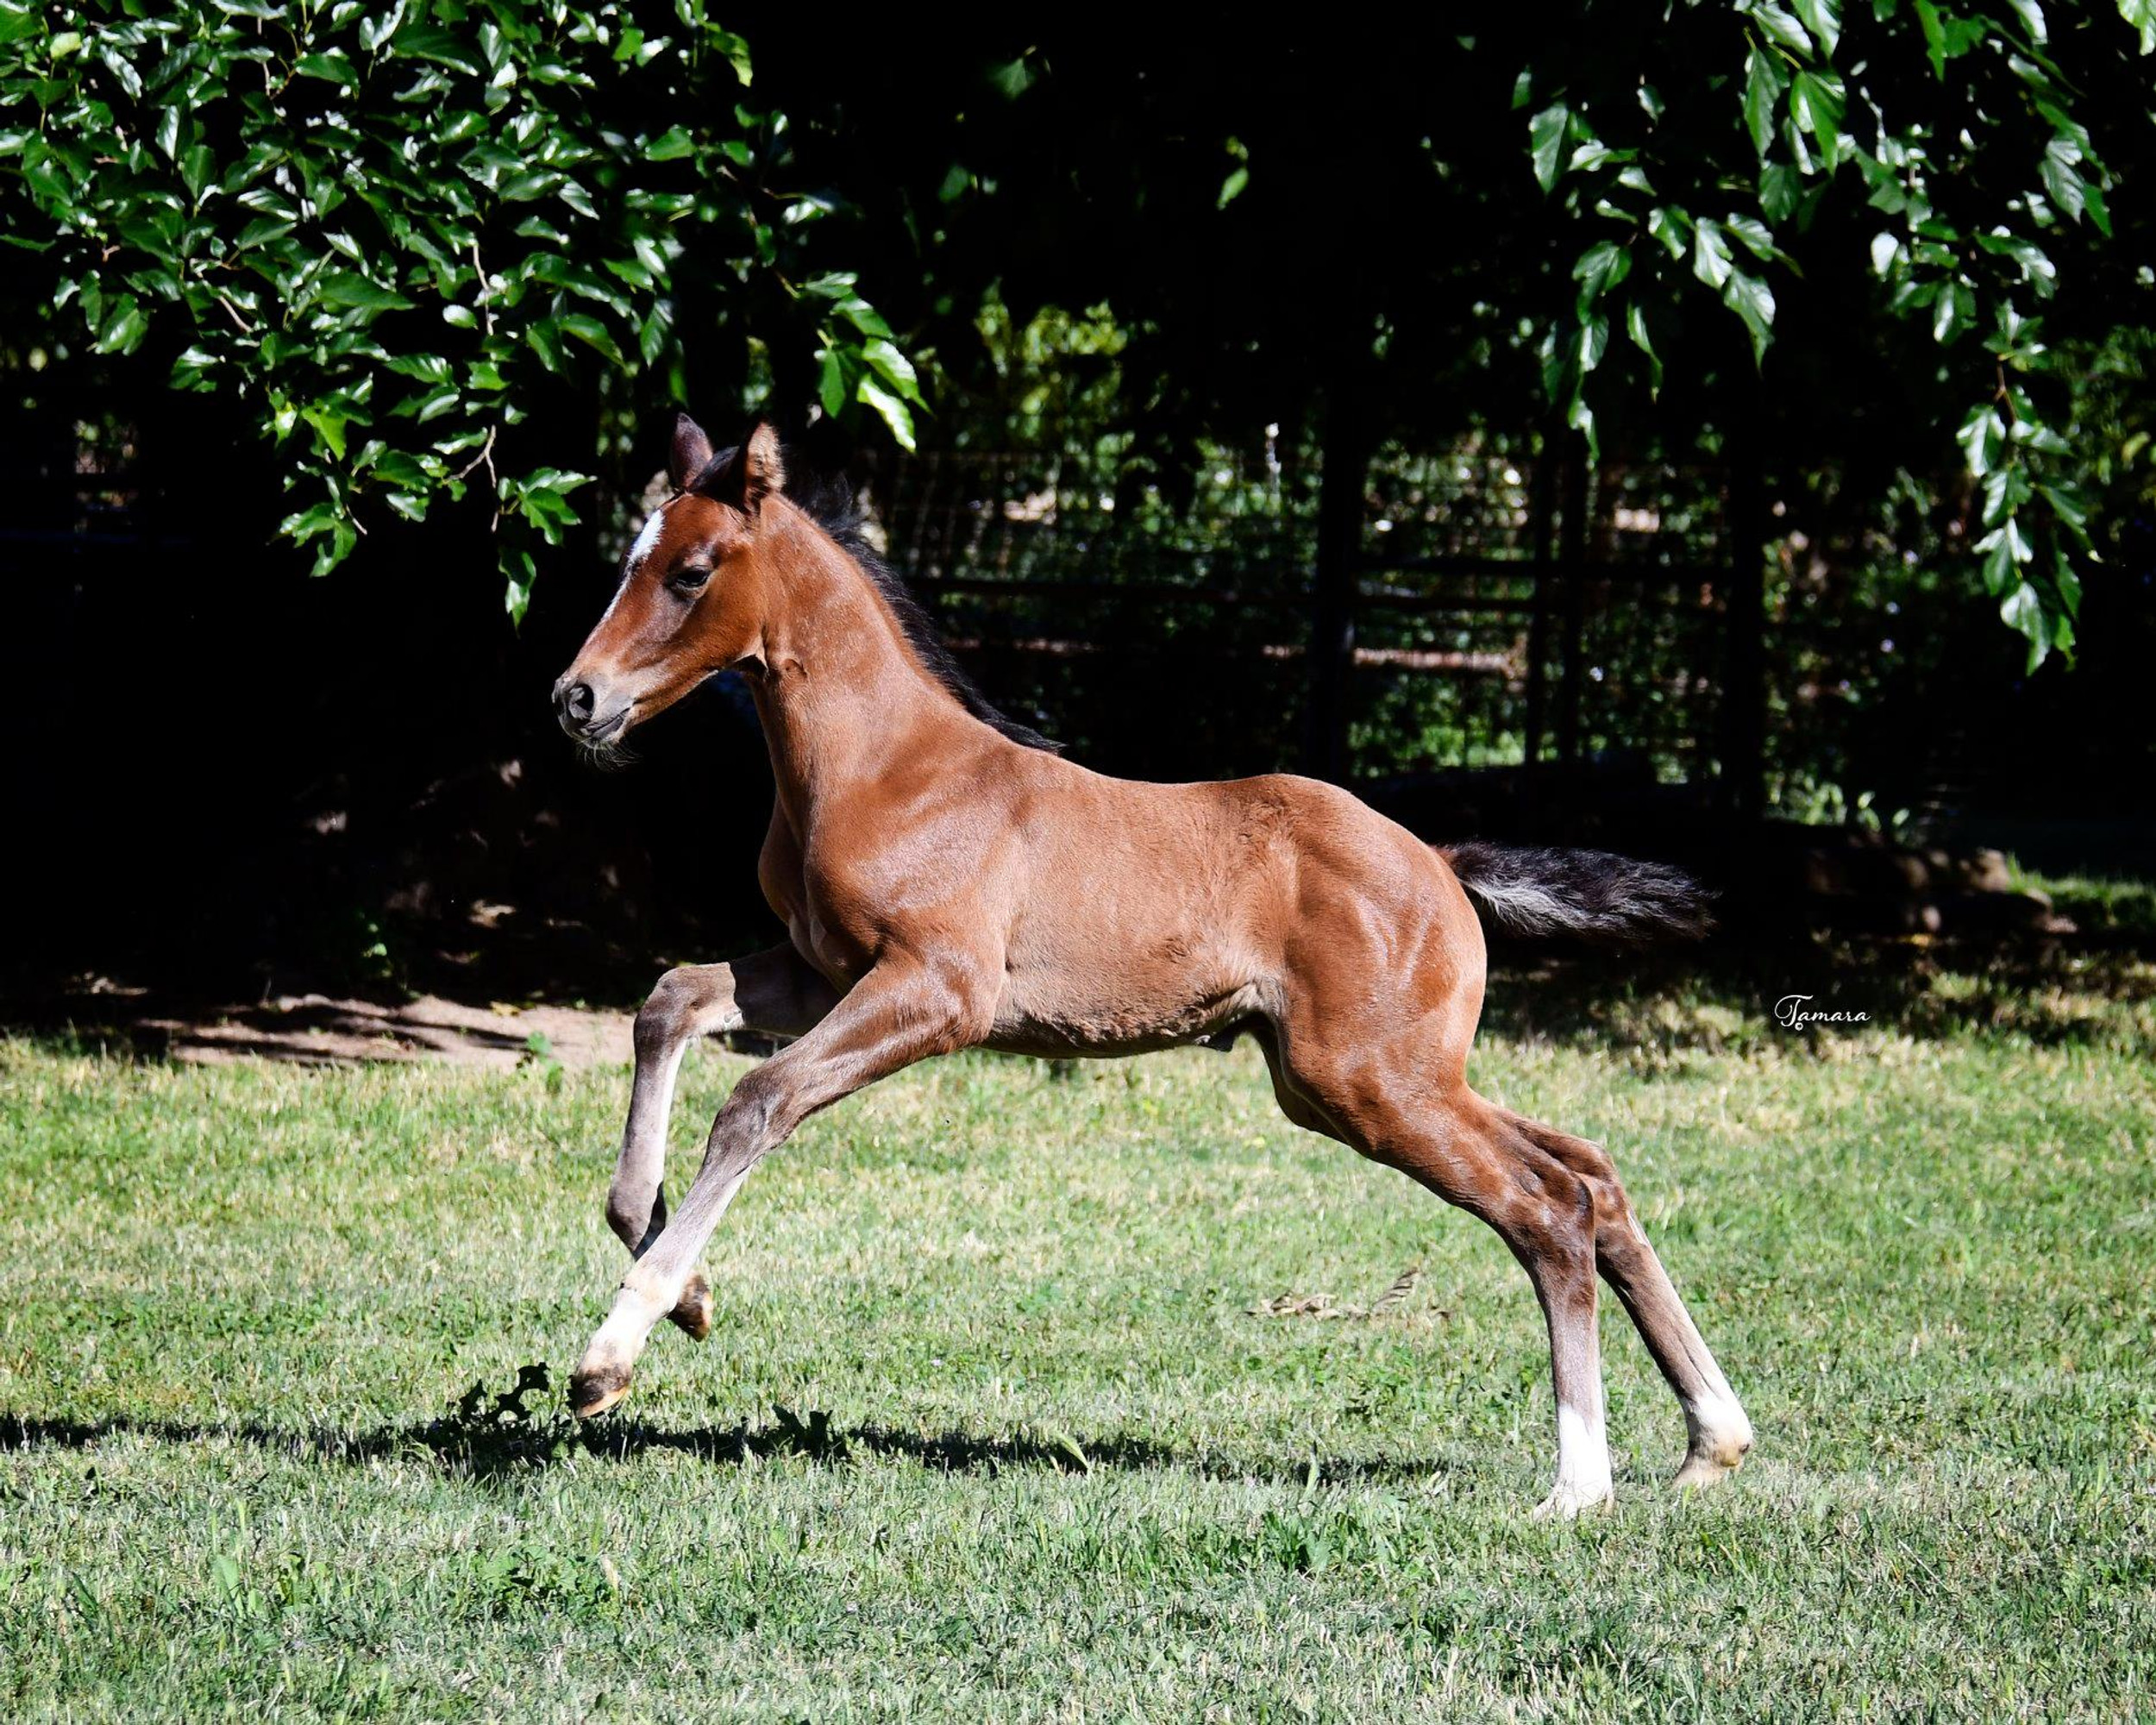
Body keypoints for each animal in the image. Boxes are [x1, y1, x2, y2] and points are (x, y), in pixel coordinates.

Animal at [550, 412, 1753, 1517]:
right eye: (625, 560)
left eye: (690, 571)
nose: (576, 698)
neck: (886, 766)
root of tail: (1443, 866)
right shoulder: (819, 968)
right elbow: (669, 1001)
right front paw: (685, 1286)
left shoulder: (936, 990)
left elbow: (757, 1099)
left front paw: (614, 1350)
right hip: (1378, 1077)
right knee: (1591, 1172)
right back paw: (1711, 1440)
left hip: (1368, 1084)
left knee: (1547, 1206)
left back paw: (1579, 1484)